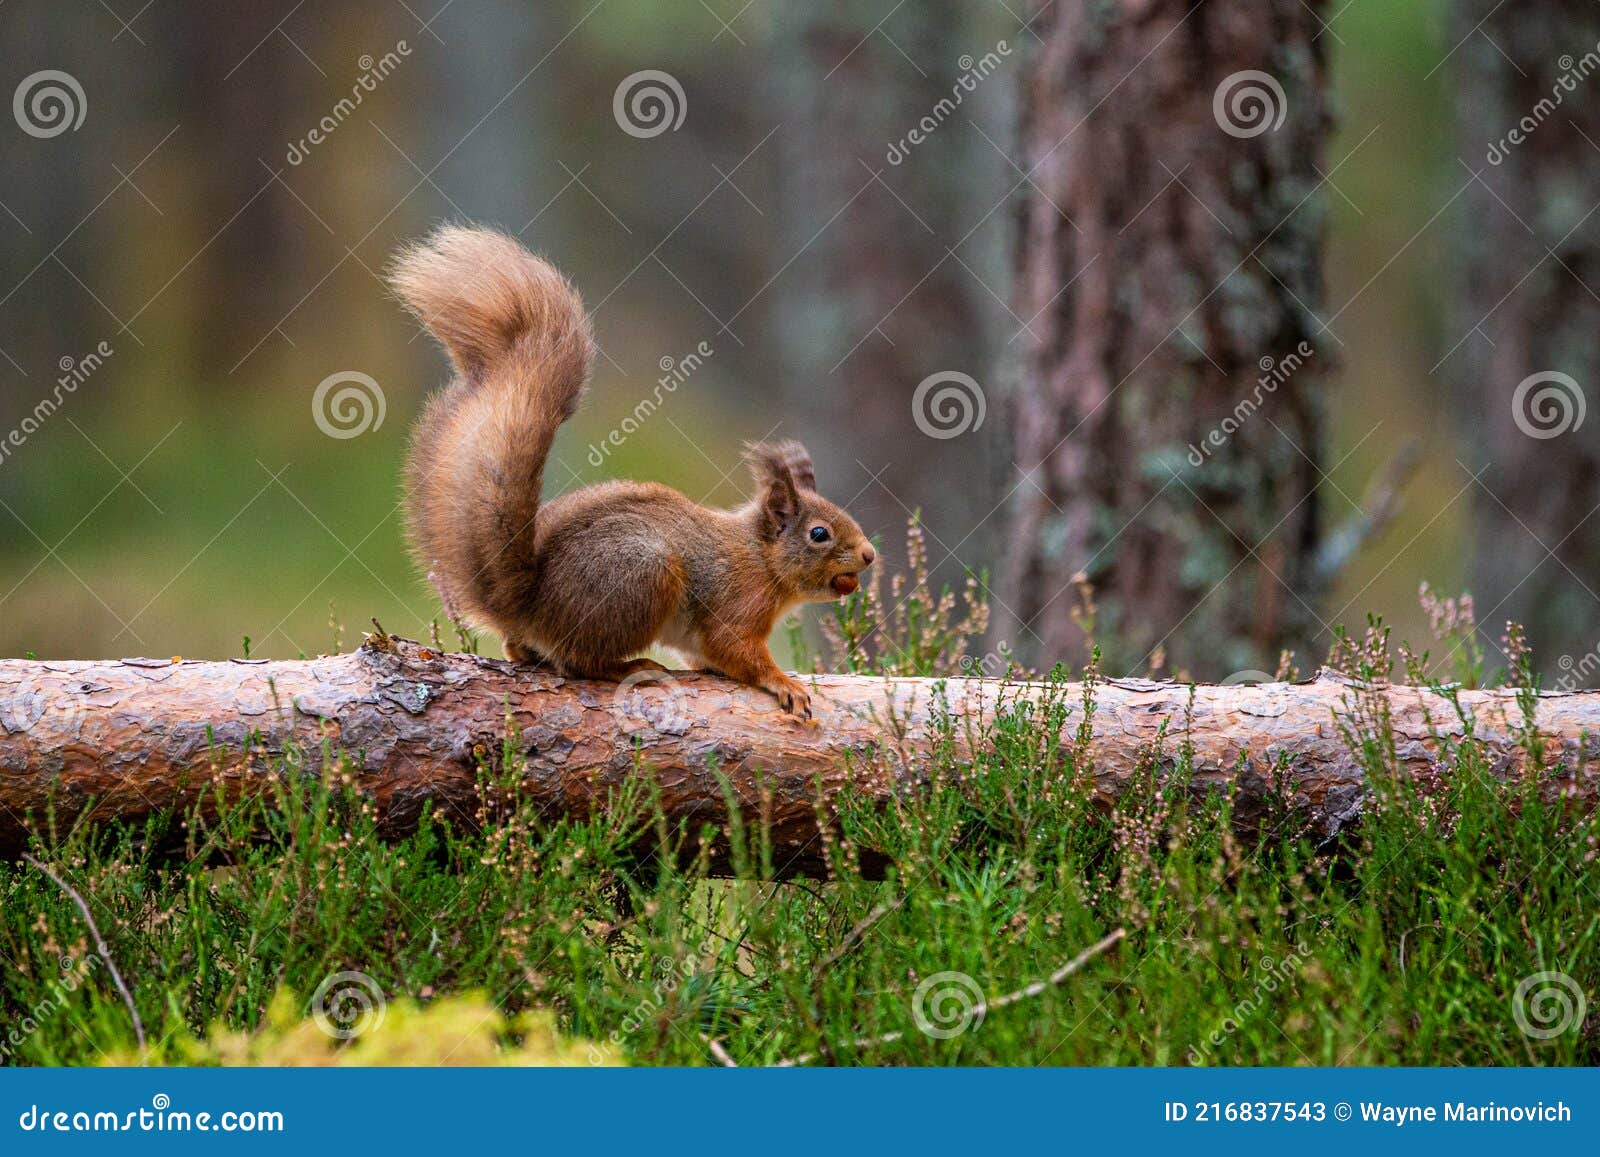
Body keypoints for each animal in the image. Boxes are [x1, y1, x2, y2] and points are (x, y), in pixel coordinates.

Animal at [389, 225, 875, 719]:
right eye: (819, 534)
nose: (870, 554)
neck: (761, 558)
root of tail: (533, 607)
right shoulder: (736, 603)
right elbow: (736, 650)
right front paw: (784, 683)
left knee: (521, 650)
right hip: (643, 576)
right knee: (580, 660)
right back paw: (629, 667)